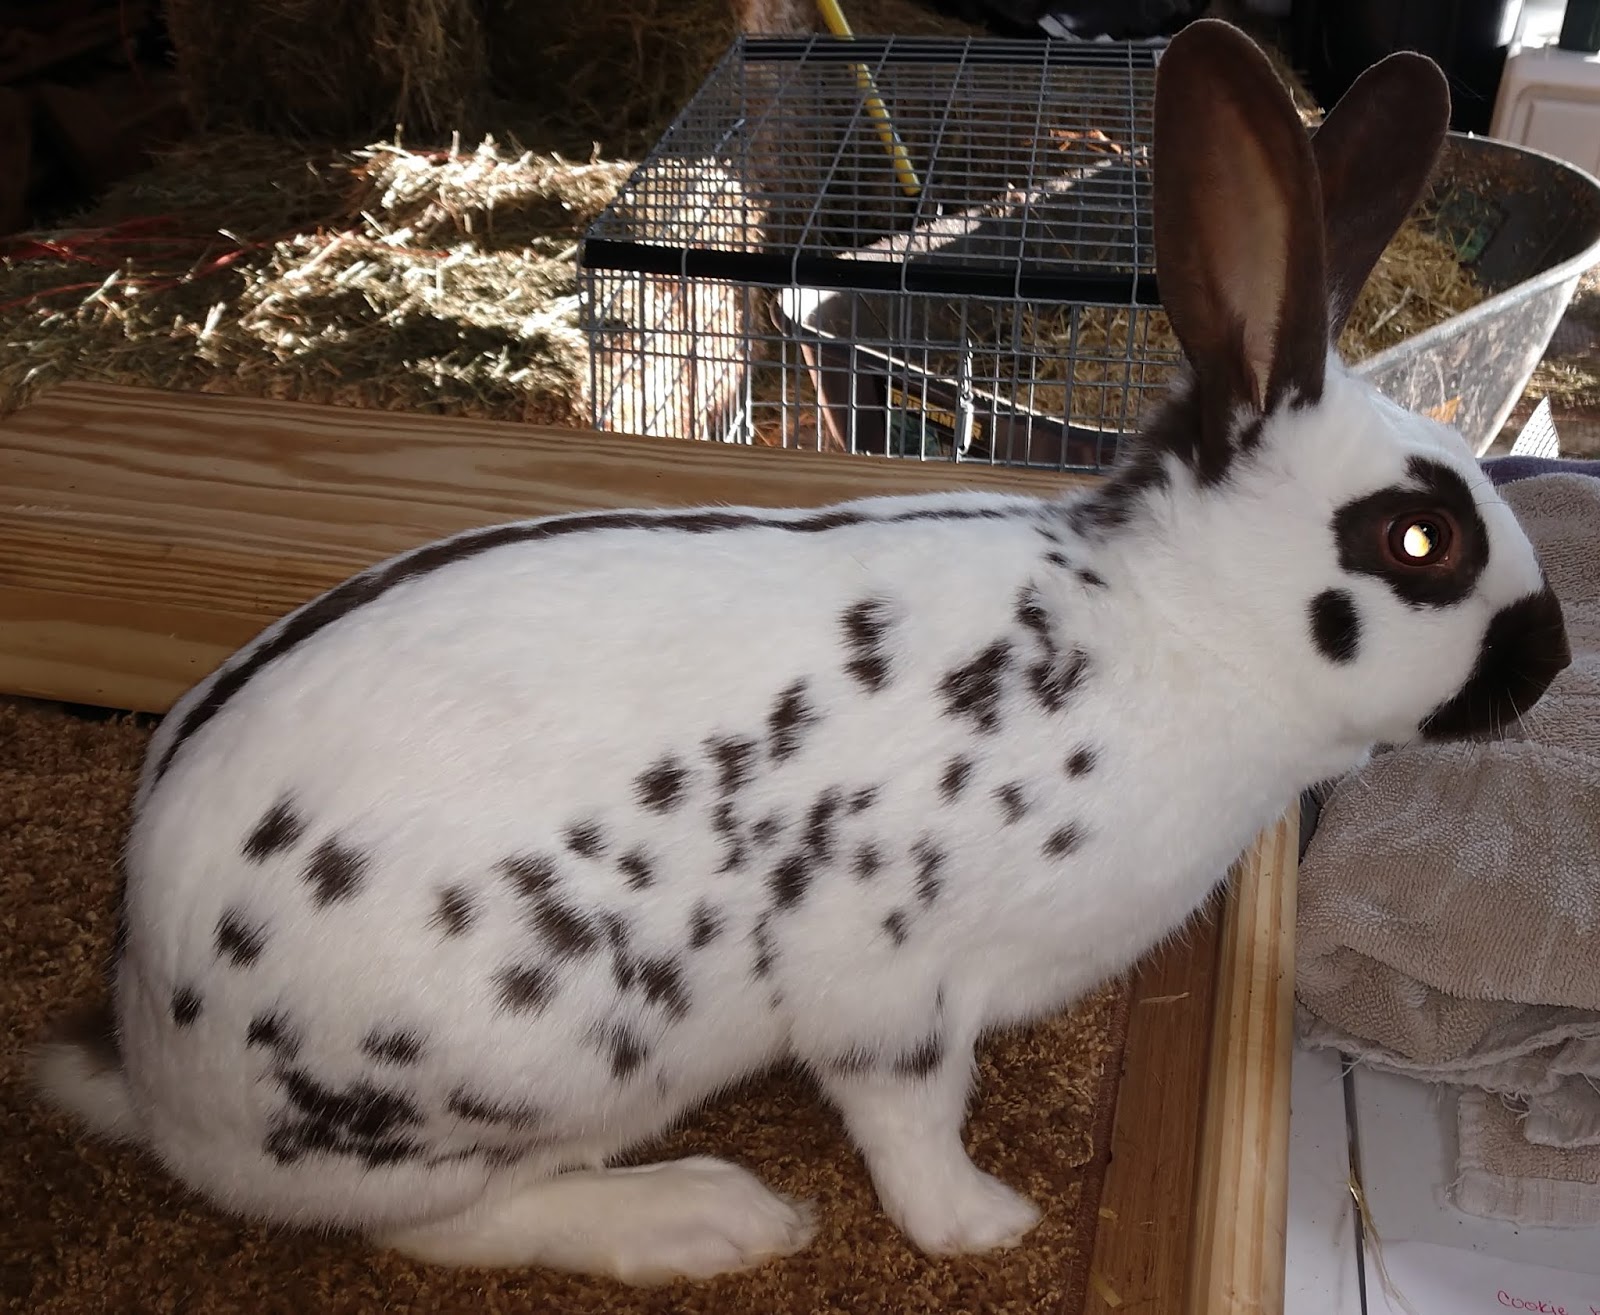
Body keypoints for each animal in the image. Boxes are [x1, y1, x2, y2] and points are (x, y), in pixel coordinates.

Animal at [32, 18, 1572, 1287]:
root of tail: (153, 1061)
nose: (1549, 660)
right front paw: (985, 1225)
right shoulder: (893, 990)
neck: (1166, 622)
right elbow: (912, 1127)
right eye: (1419, 540)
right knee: (441, 1222)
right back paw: (708, 1217)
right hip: (537, 1068)